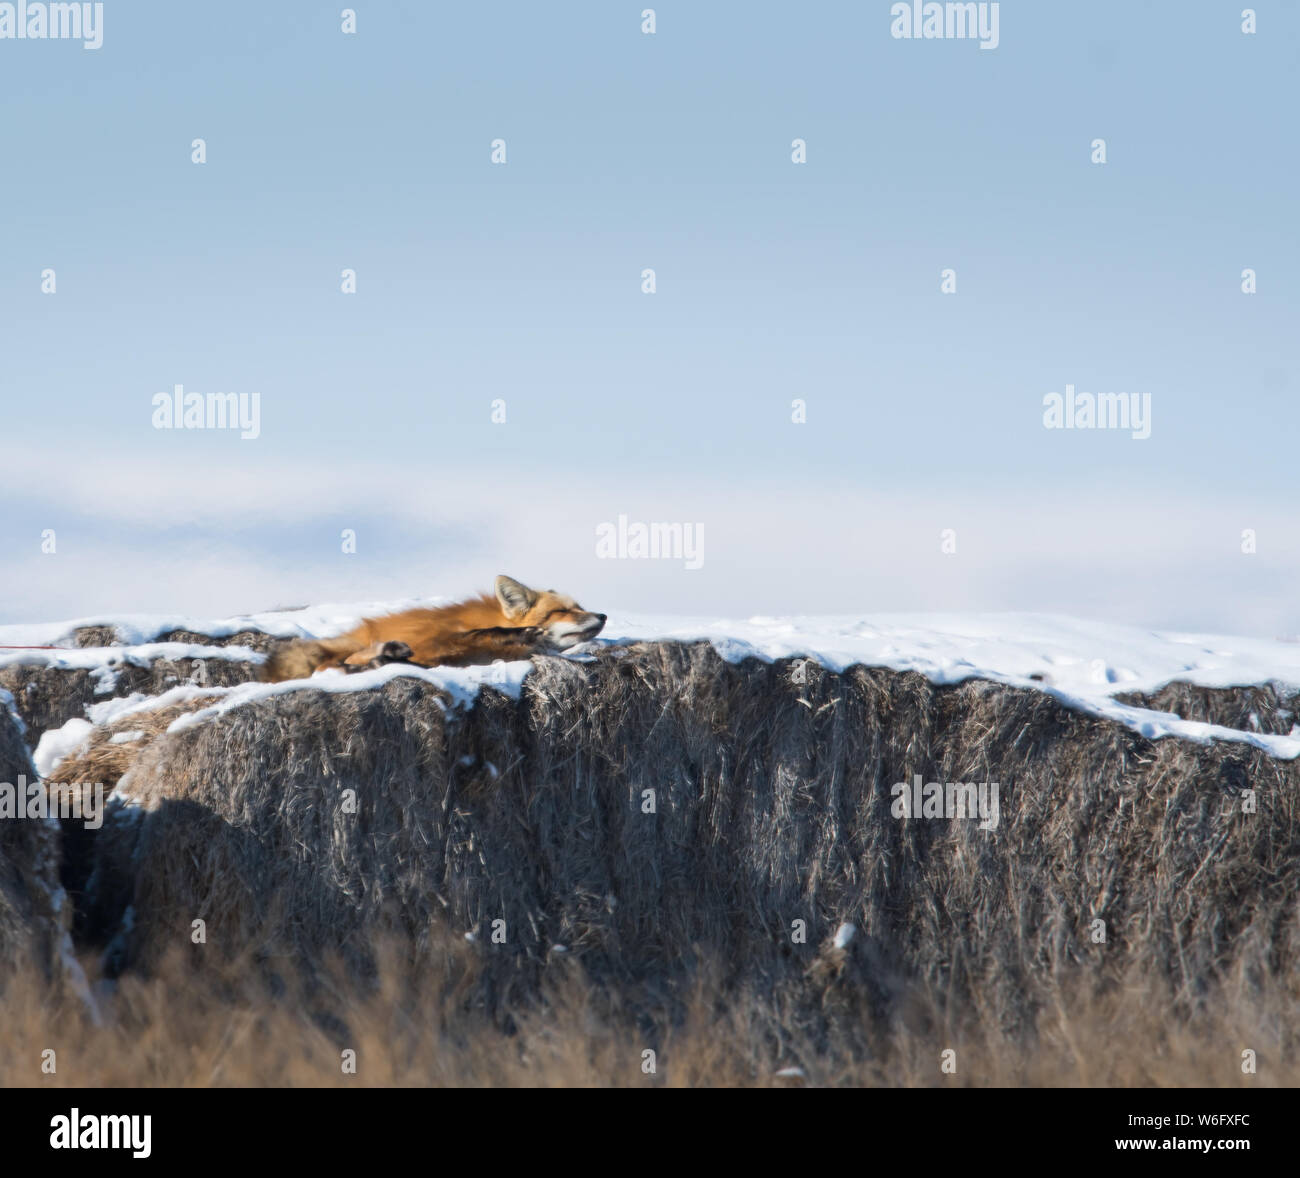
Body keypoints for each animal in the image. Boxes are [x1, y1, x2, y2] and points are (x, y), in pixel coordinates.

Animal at [259, 575, 607, 683]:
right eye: (563, 611)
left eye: (580, 606)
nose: (603, 615)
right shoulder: (438, 639)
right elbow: (481, 634)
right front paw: (515, 634)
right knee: (336, 663)